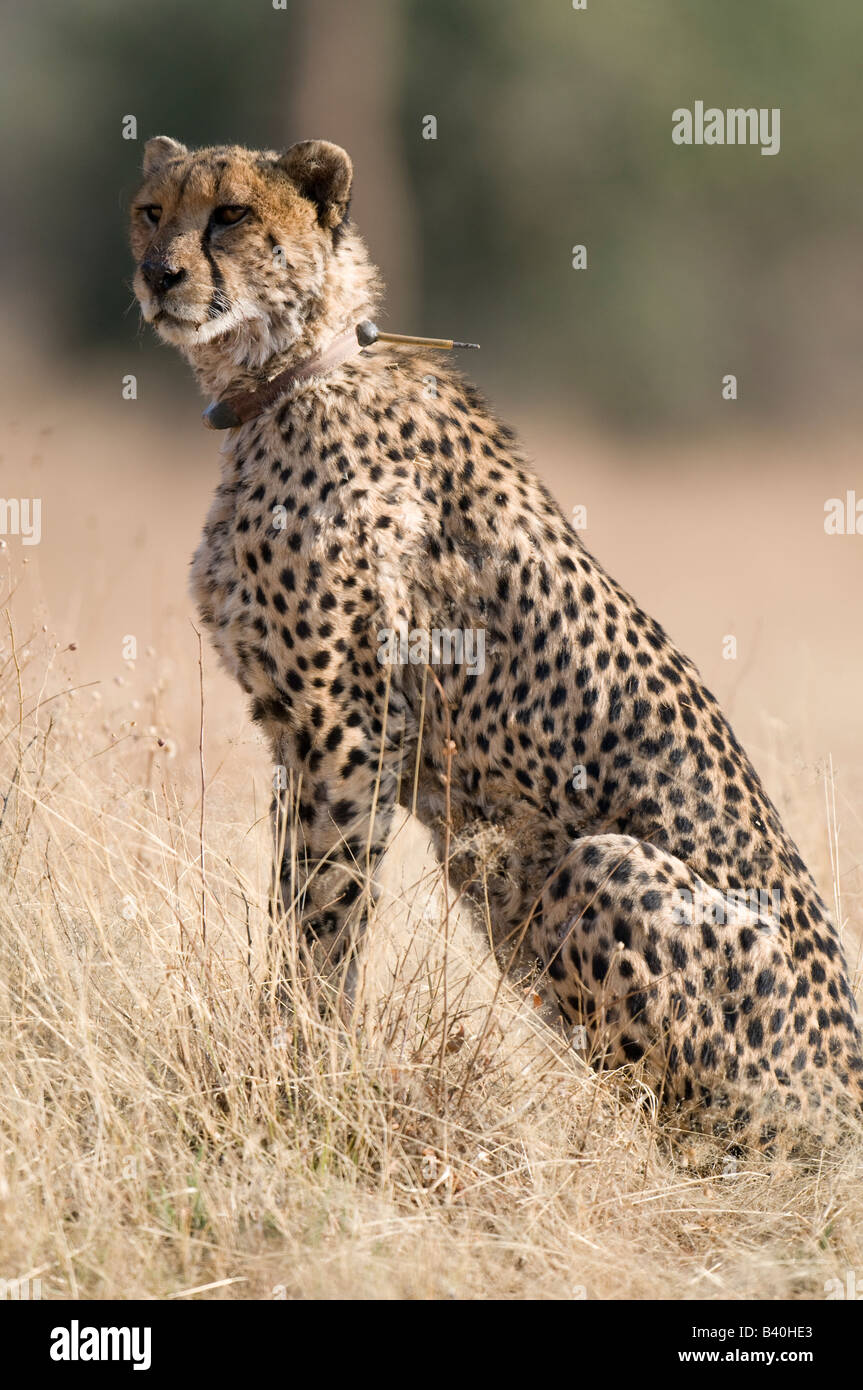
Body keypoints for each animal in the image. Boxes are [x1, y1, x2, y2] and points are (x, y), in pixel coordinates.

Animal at [130, 135, 863, 1145]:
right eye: (151, 211)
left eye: (231, 215)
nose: (158, 274)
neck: (290, 366)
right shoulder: (297, 732)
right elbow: (303, 908)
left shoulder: (349, 732)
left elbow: (322, 920)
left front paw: (297, 1068)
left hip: (594, 869)